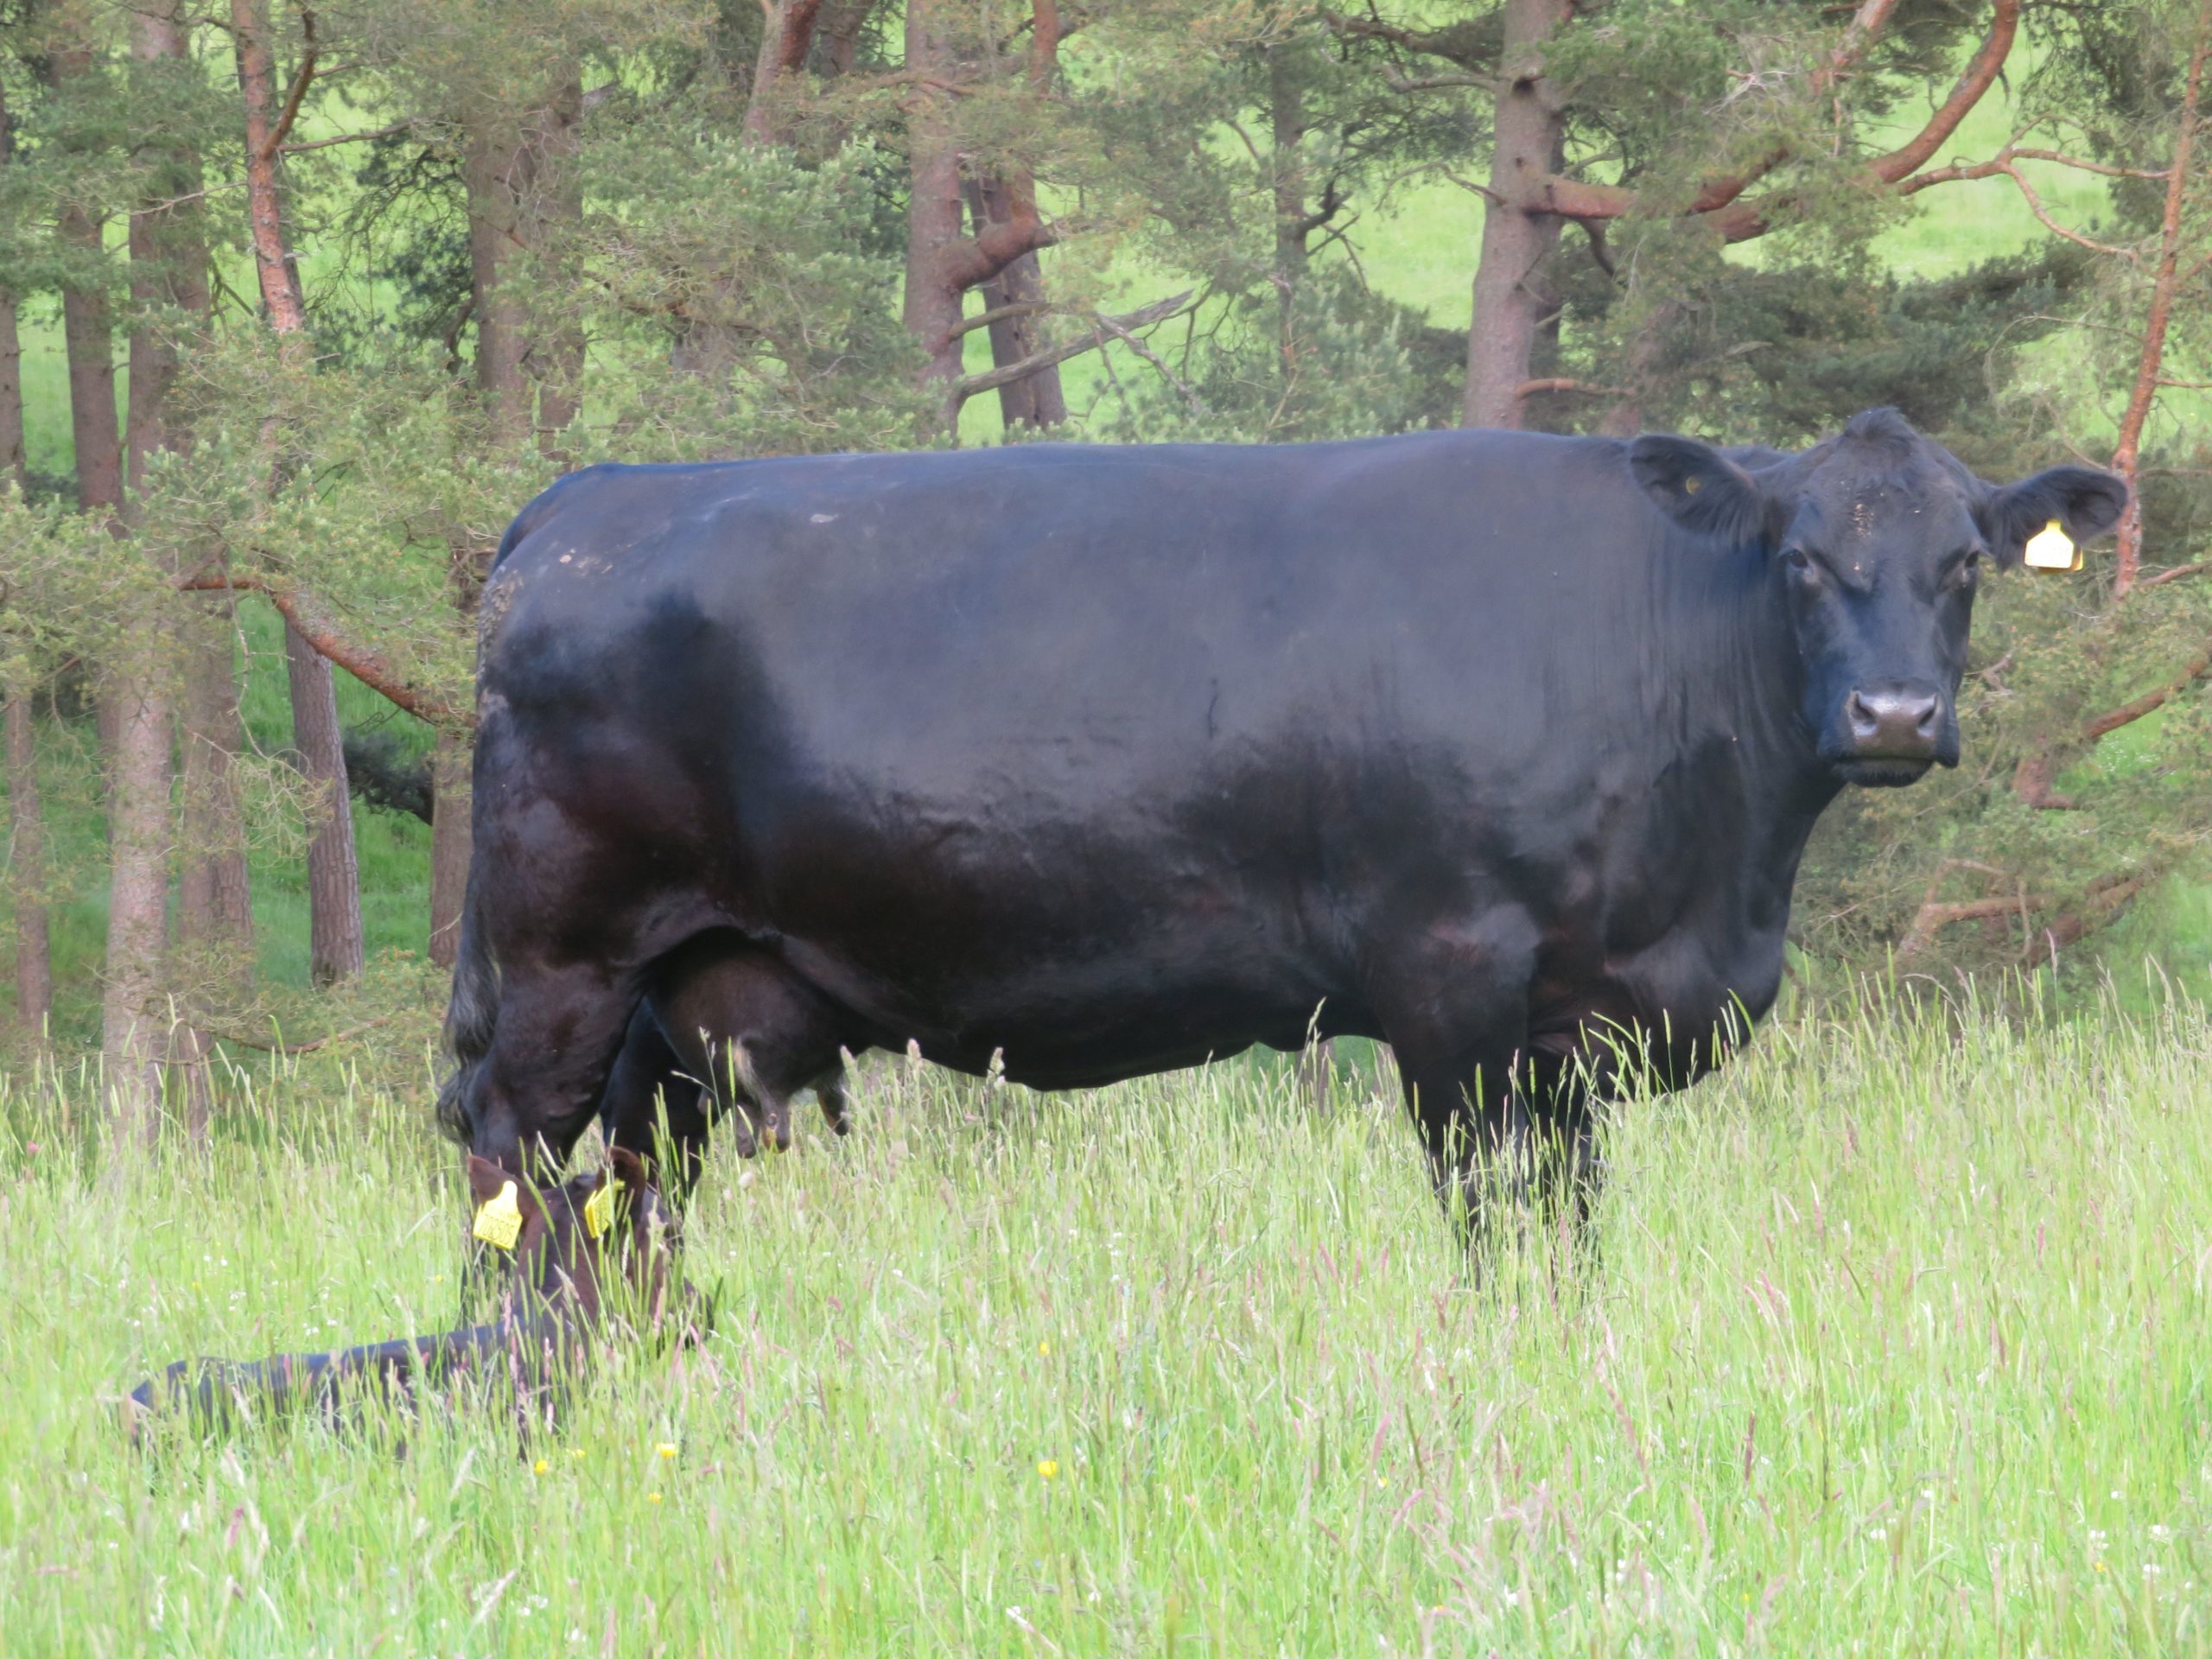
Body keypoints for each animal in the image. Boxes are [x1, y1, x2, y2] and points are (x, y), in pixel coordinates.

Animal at [437, 408, 2125, 1223]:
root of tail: (588, 501)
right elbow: (1492, 1215)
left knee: (631, 1193)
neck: (1718, 887)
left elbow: (1571, 1223)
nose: (1894, 718)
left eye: (1965, 564)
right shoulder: (1451, 979)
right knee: (507, 1158)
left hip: (683, 999)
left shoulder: (1574, 1024)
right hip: (561, 959)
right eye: (1801, 560)